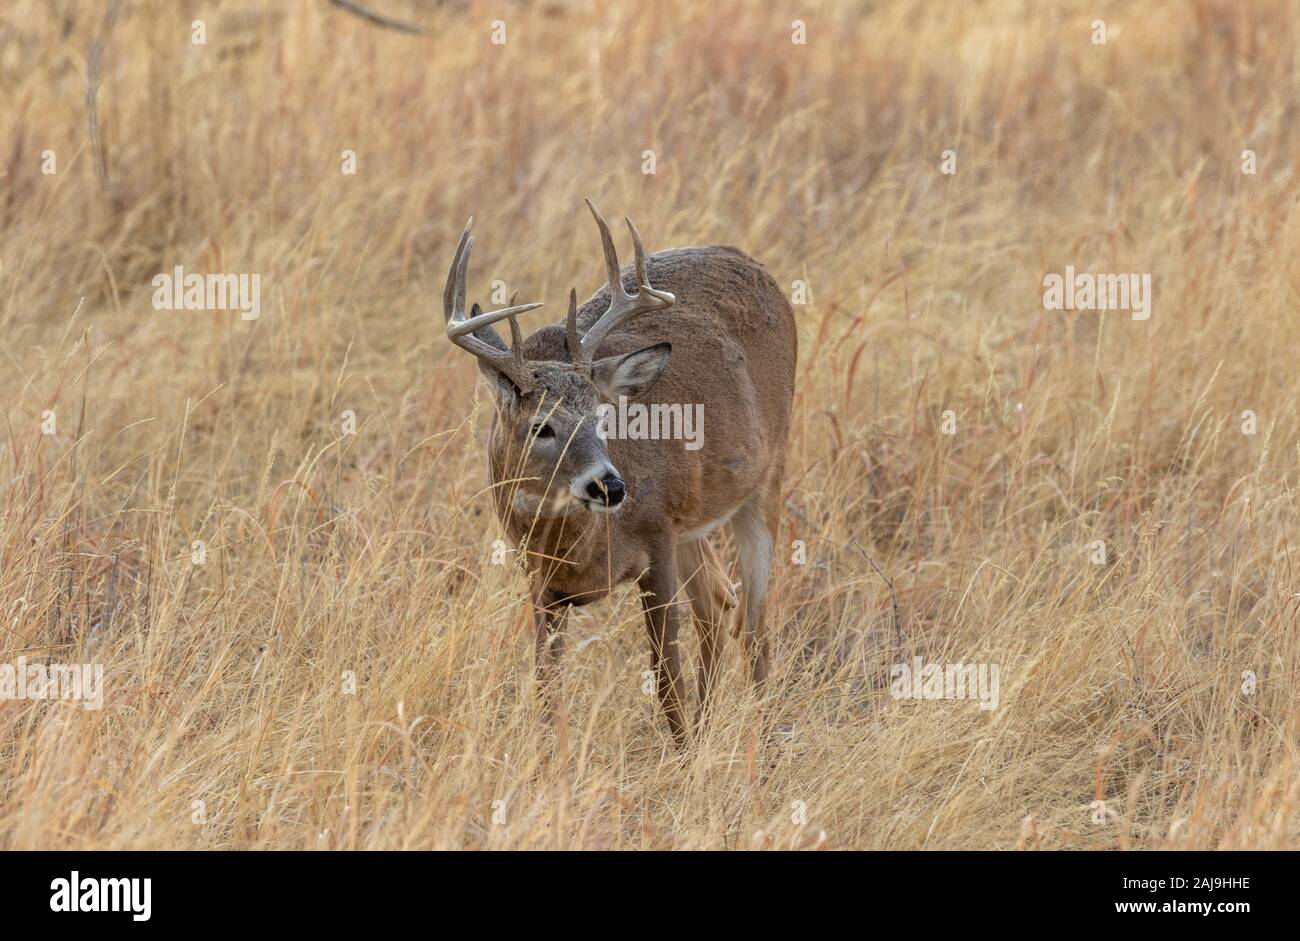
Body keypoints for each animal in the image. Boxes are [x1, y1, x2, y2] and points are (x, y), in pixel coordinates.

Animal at [441, 200, 797, 744]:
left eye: (604, 417)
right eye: (541, 426)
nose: (610, 485)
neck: (579, 547)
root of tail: (752, 263)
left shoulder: (658, 539)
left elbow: (666, 678)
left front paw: (681, 756)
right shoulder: (537, 579)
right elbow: (545, 686)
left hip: (766, 477)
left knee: (755, 625)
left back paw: (759, 740)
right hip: (695, 520)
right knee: (719, 601)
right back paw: (712, 727)